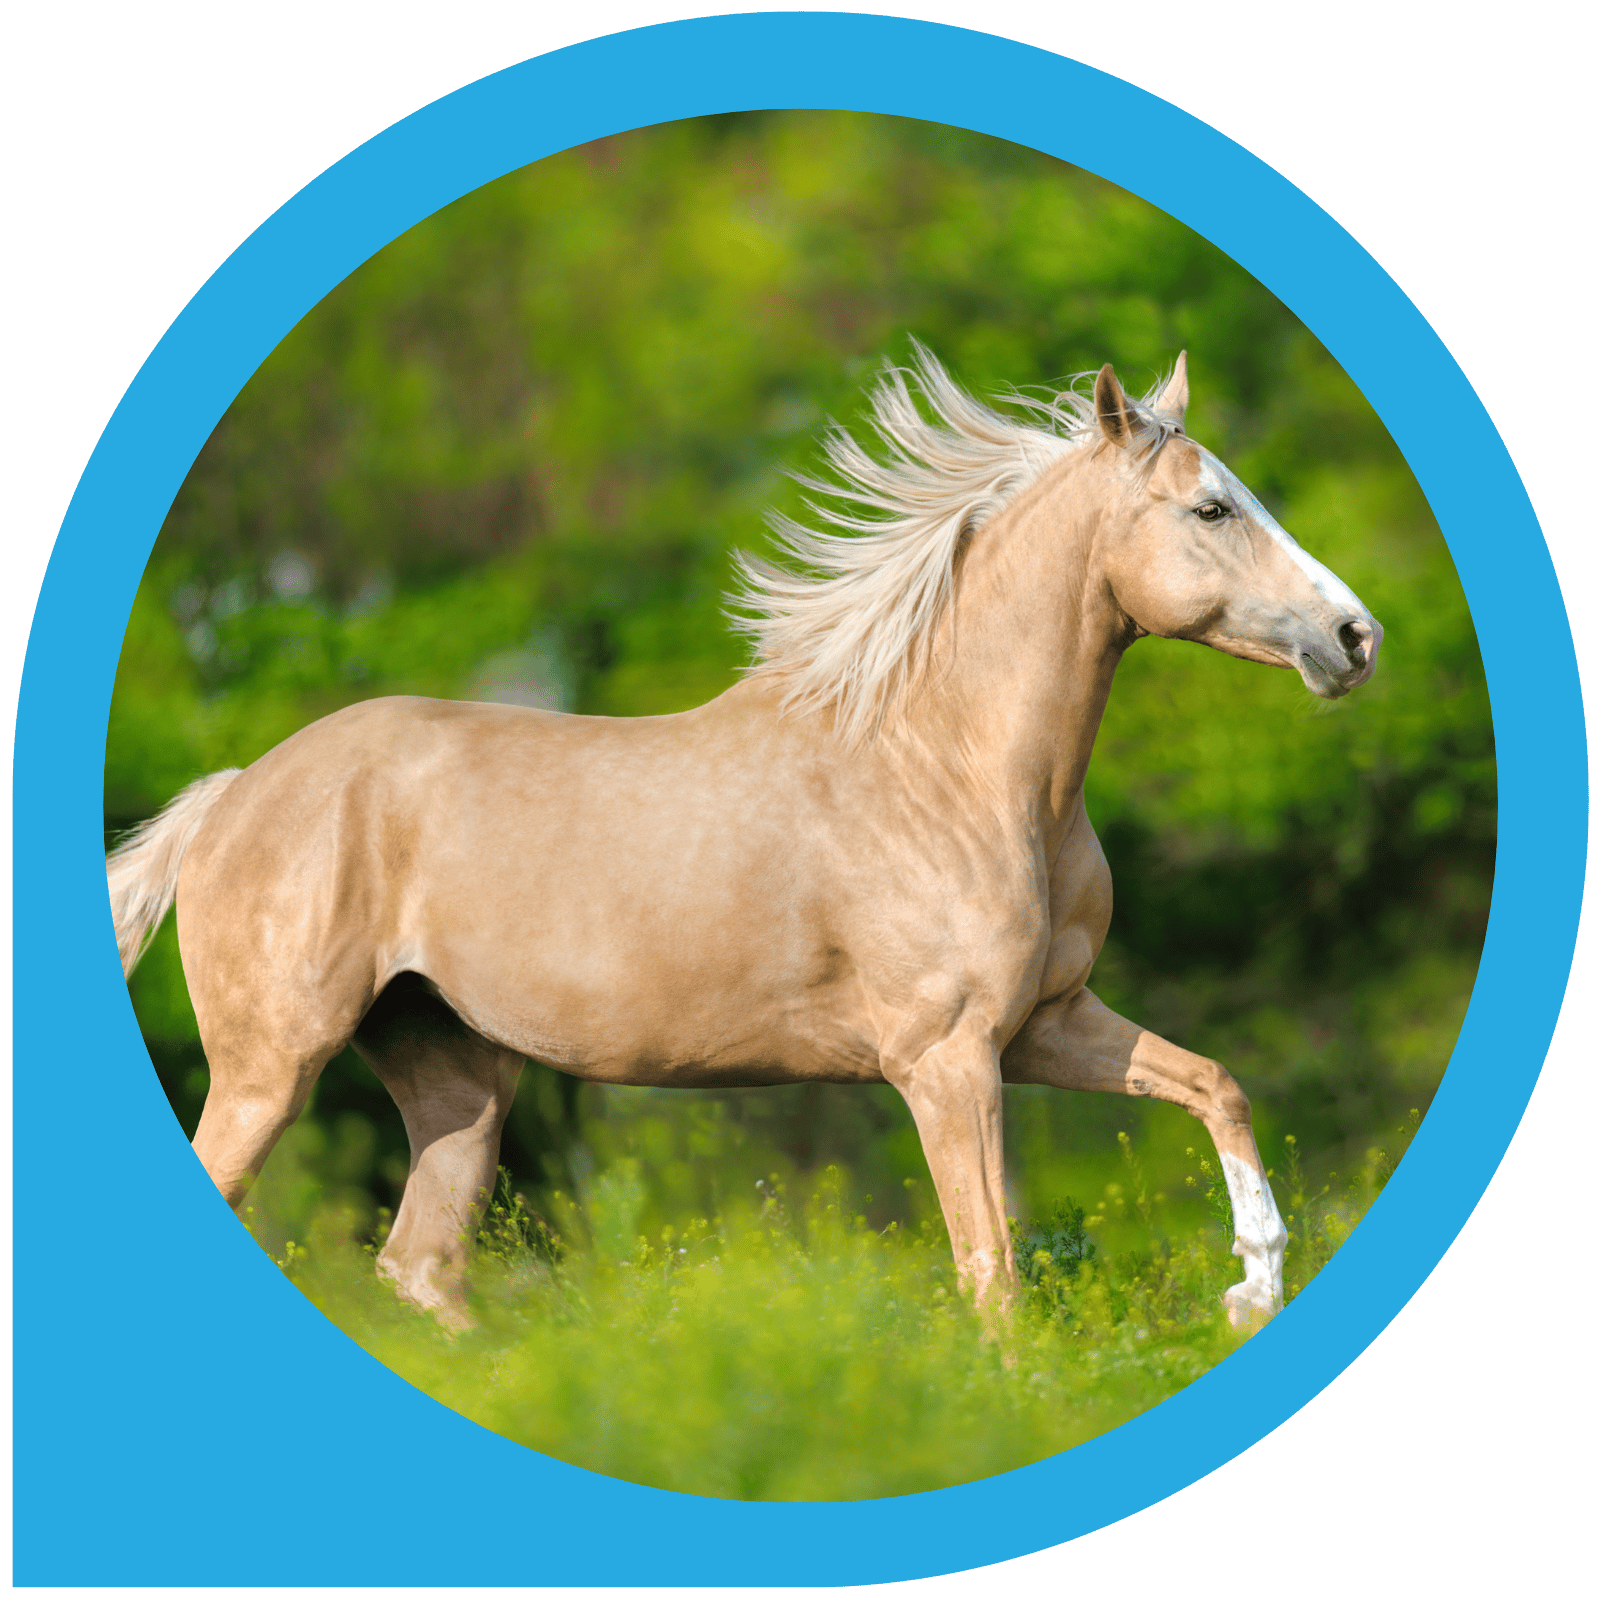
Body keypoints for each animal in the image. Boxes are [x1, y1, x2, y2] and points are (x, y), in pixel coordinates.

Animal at [108, 346, 1381, 1330]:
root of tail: (236, 792)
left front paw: (1250, 1289)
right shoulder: (945, 1058)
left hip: (455, 1074)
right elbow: (991, 1273)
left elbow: (1214, 1086)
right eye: (1210, 508)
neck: (953, 770)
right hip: (275, 1063)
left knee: (418, 1268)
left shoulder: (1045, 1026)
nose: (1354, 637)